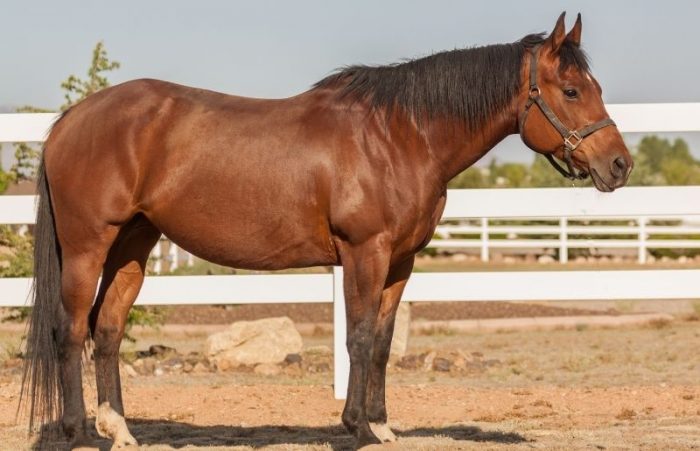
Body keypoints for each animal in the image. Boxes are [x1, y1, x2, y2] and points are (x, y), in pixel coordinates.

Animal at [21, 12, 632, 448]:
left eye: (595, 86)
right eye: (571, 91)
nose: (620, 165)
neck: (399, 137)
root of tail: (70, 120)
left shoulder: (401, 261)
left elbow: (383, 341)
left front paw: (382, 426)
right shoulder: (365, 252)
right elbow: (357, 337)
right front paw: (356, 428)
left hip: (133, 245)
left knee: (106, 329)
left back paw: (121, 431)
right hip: (87, 246)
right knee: (69, 331)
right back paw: (77, 433)